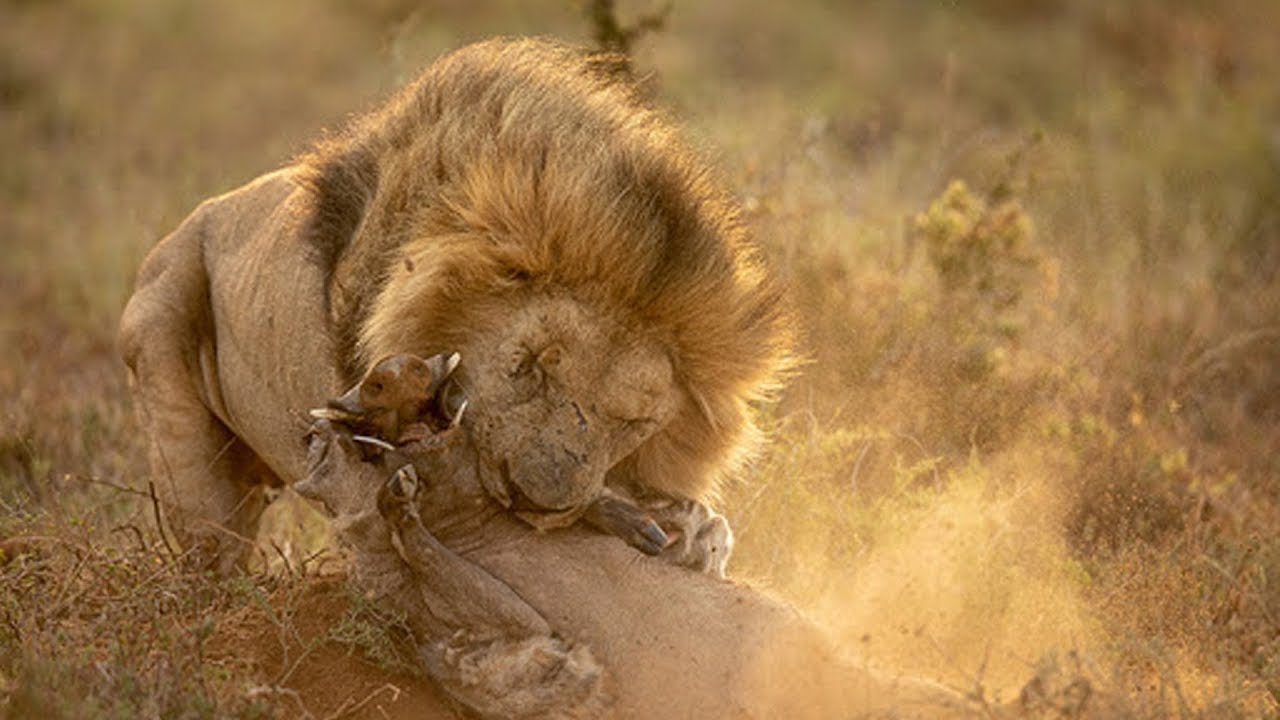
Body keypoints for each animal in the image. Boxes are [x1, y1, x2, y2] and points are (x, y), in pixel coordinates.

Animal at [118, 37, 793, 574]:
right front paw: (660, 525)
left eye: (635, 423)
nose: (540, 500)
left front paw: (692, 529)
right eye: (528, 365)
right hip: (177, 400)